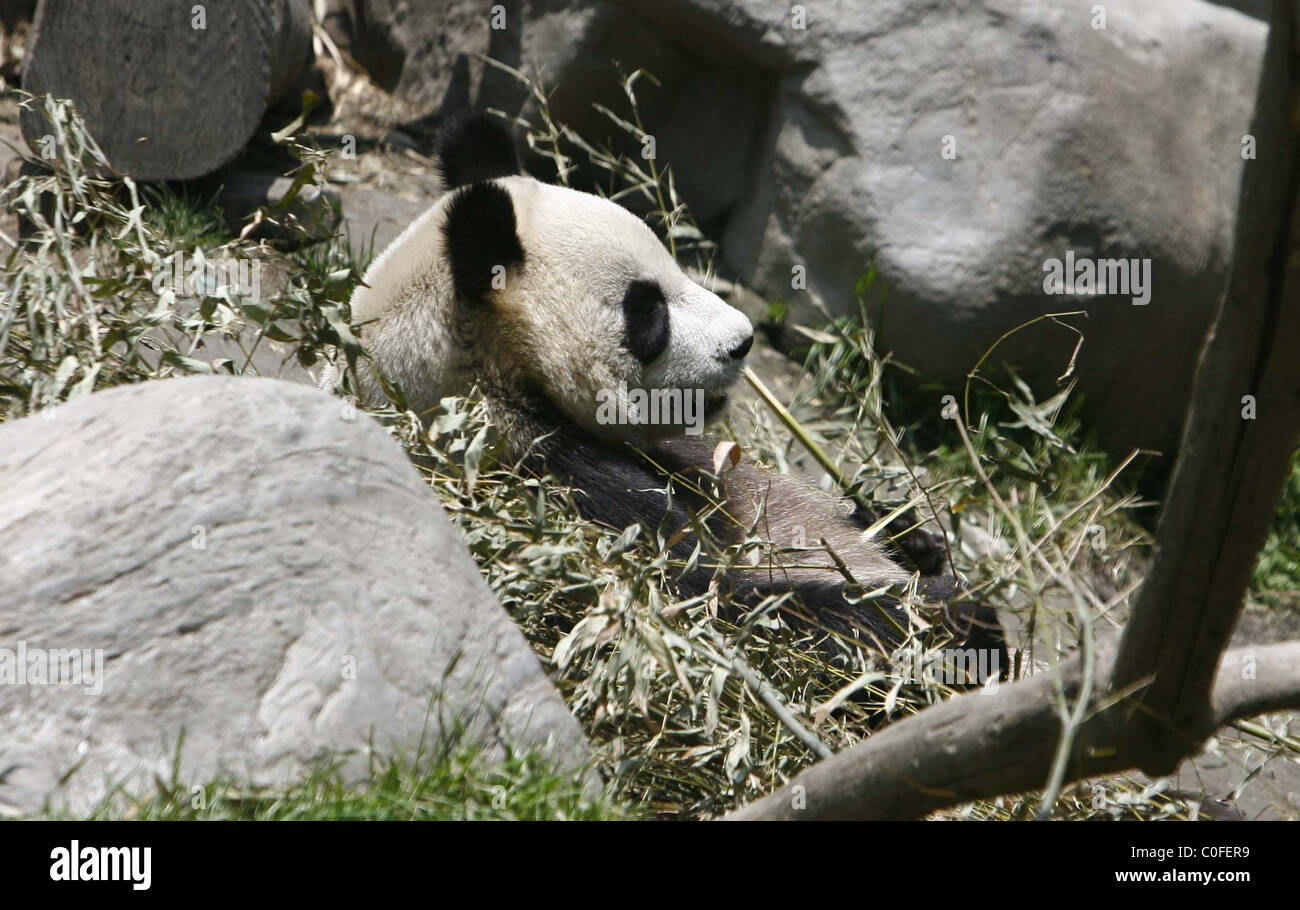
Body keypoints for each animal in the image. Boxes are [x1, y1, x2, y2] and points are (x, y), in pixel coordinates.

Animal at [350, 112, 1005, 673]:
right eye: (647, 310)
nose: (742, 341)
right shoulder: (557, 478)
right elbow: (728, 598)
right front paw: (945, 616)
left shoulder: (701, 461)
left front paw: (916, 541)